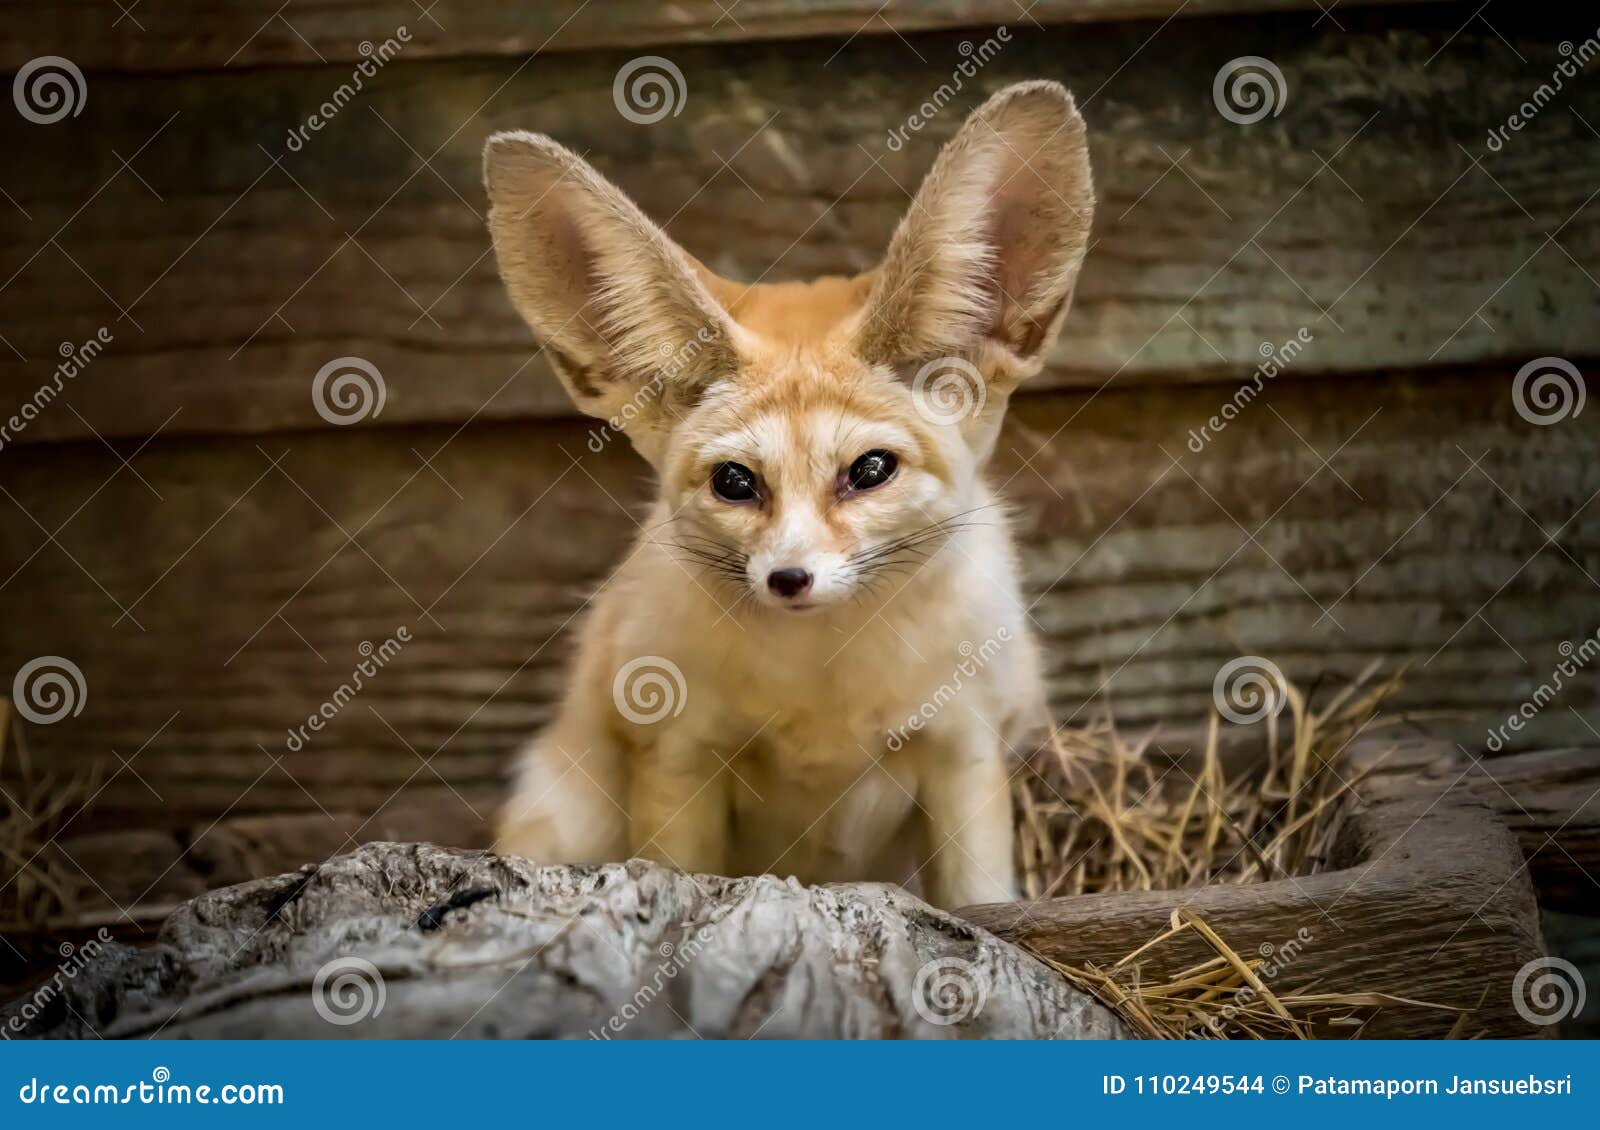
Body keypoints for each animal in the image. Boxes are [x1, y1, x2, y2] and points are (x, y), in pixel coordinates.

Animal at [483, 81, 1094, 909]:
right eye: (735, 483)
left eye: (870, 471)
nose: (789, 579)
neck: (821, 688)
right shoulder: (678, 757)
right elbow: (680, 875)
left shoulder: (965, 749)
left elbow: (982, 903)